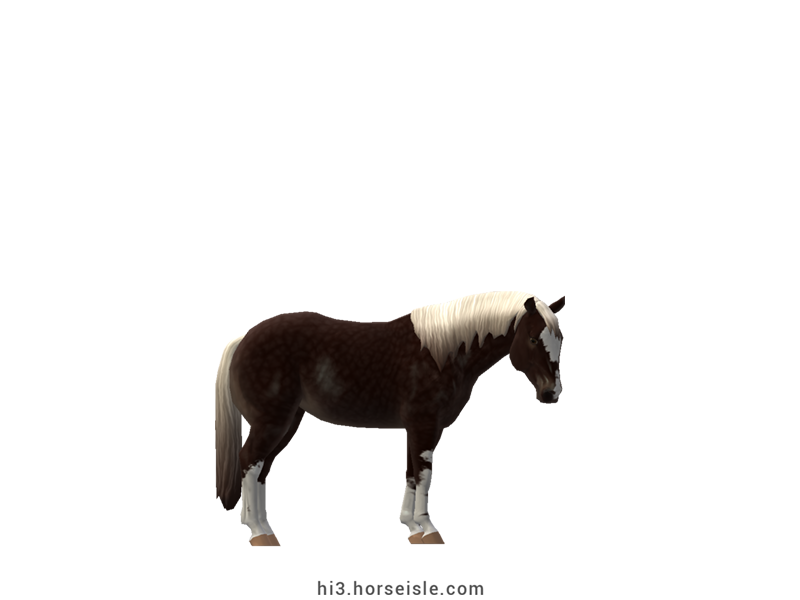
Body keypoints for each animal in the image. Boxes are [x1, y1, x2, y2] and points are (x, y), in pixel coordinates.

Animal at [215, 291, 562, 541]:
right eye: (533, 338)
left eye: (558, 338)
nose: (550, 392)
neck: (445, 353)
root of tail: (243, 341)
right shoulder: (424, 423)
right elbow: (424, 473)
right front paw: (427, 526)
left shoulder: (419, 426)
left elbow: (411, 473)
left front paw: (409, 525)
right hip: (270, 422)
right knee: (249, 463)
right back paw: (255, 530)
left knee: (257, 469)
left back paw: (260, 525)